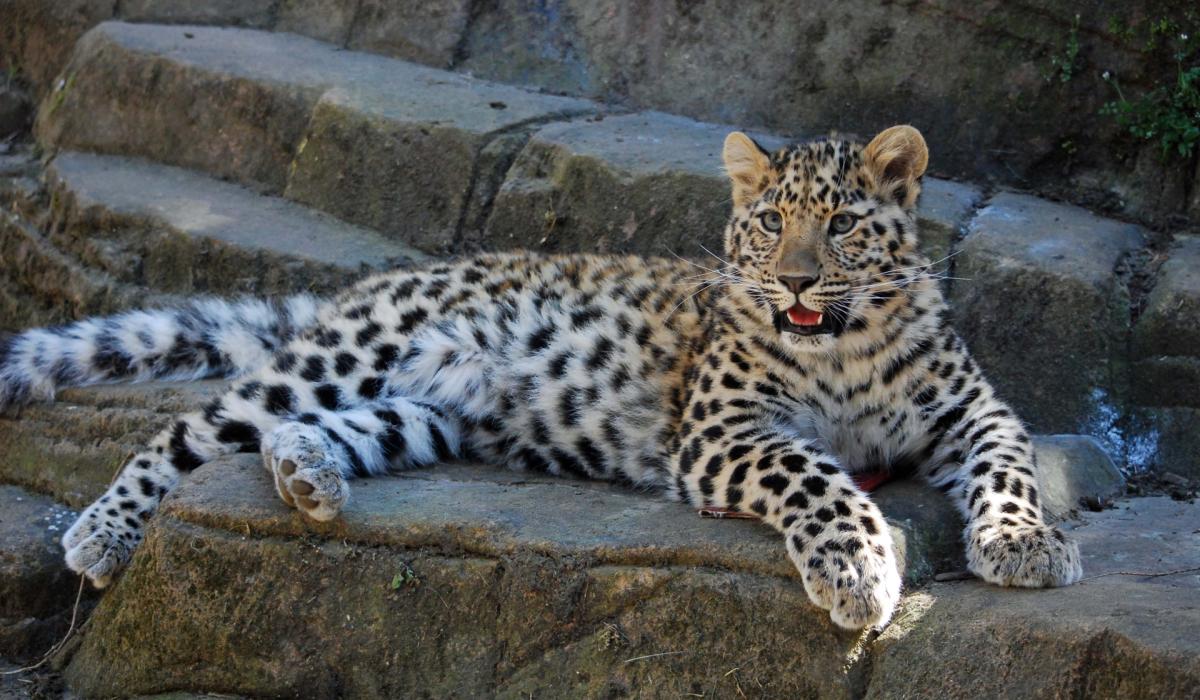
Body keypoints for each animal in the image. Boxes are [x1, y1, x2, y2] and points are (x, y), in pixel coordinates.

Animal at [0, 125, 1081, 630]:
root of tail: (384, 277)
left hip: (428, 412)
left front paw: (1025, 544)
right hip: (346, 355)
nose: (796, 279)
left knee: (316, 431)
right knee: (188, 432)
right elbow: (818, 476)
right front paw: (858, 570)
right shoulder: (724, 431)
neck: (843, 348)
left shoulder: (972, 409)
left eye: (845, 223)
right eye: (772, 222)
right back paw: (103, 531)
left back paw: (311, 475)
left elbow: (1014, 462)